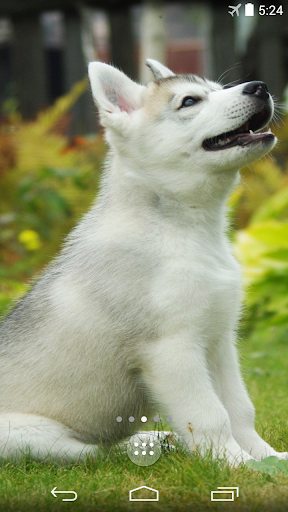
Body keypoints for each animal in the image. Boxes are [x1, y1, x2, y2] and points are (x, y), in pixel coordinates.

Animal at [0, 60, 286, 464]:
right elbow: (211, 416)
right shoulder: (171, 349)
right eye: (189, 101)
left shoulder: (219, 342)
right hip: (34, 437)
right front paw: (237, 465)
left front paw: (268, 459)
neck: (188, 231)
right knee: (96, 453)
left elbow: (240, 409)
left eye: (217, 89)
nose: (259, 86)